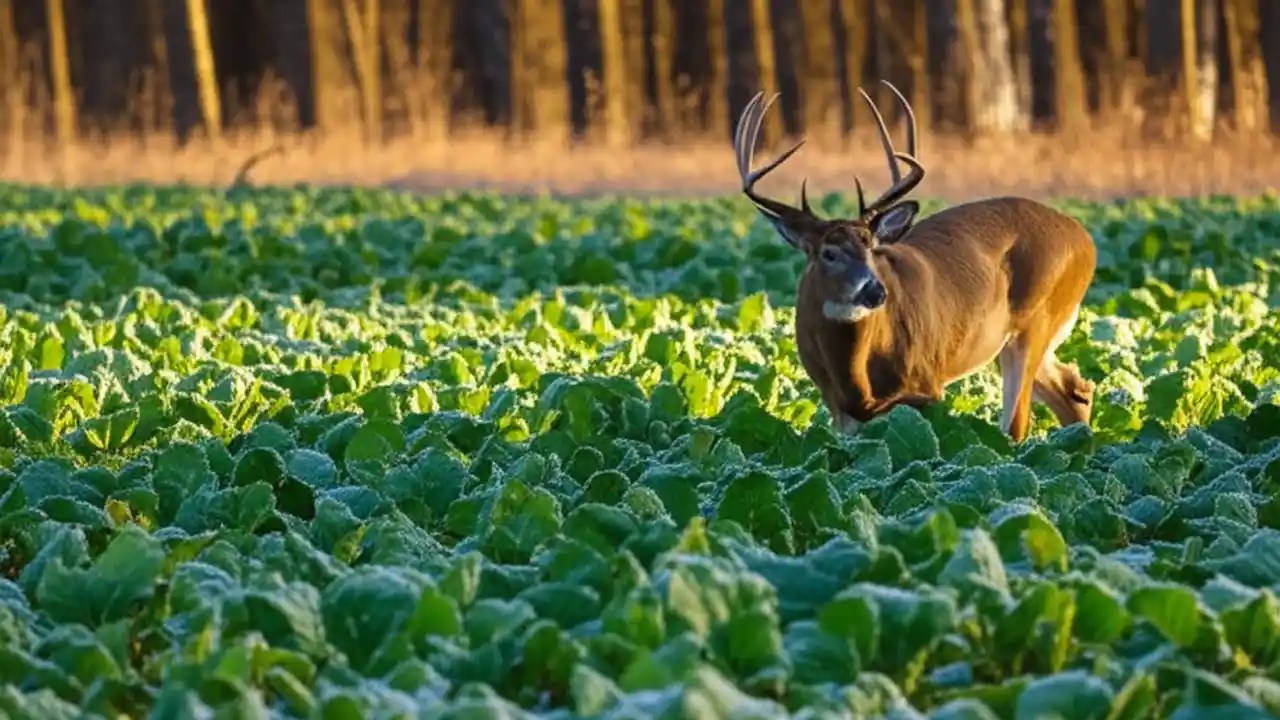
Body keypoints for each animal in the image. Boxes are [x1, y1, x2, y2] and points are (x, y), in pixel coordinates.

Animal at [732, 82, 1096, 443]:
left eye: (871, 247)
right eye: (828, 253)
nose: (876, 291)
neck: (855, 380)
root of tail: (1085, 239)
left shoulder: (925, 382)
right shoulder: (837, 409)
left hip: (1035, 321)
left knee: (1017, 424)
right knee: (1075, 389)